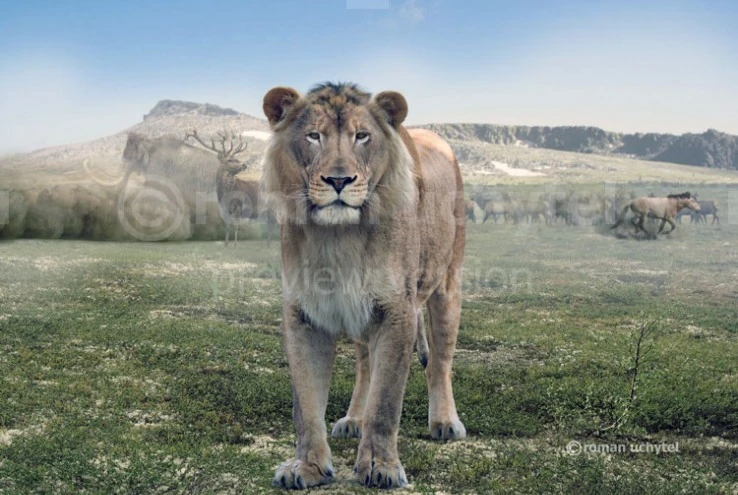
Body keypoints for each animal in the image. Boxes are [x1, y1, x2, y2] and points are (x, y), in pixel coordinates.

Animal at [261, 82, 466, 490]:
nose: (339, 181)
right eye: (314, 136)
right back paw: (354, 419)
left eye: (362, 136)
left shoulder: (398, 311)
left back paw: (445, 422)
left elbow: (386, 401)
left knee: (439, 361)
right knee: (365, 366)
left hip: (447, 286)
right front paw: (307, 466)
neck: (339, 236)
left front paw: (380, 467)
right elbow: (306, 403)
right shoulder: (304, 314)